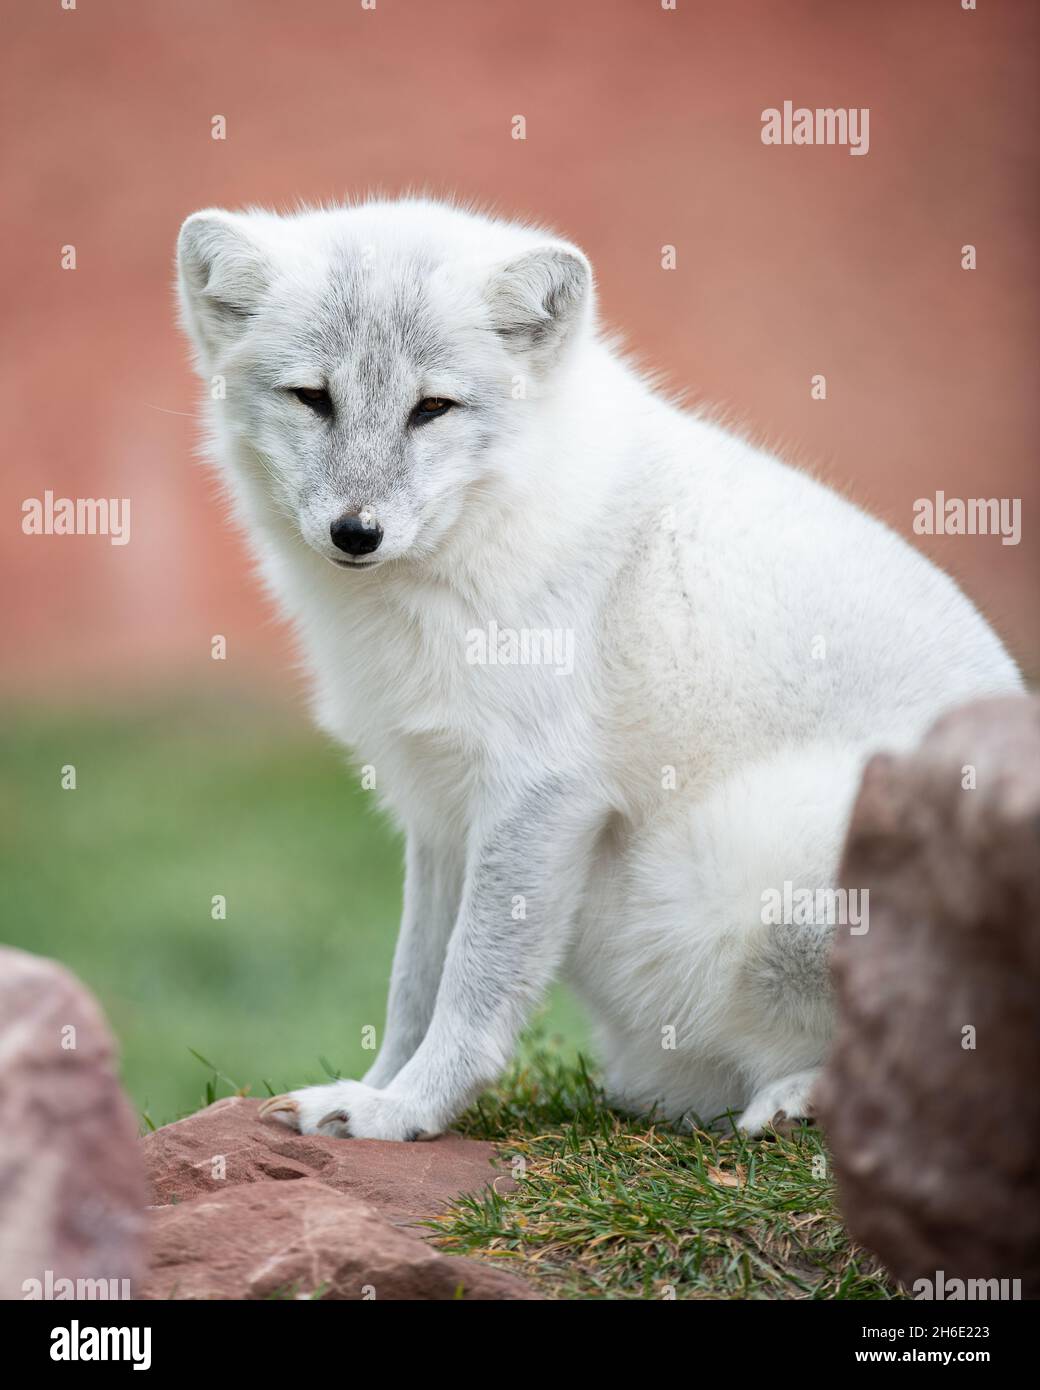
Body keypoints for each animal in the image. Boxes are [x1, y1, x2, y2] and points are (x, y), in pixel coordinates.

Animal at [176, 197, 1023, 1141]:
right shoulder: (440, 810)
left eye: (433, 408)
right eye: (312, 397)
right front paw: (374, 1087)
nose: (356, 532)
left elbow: (473, 987)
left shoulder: (540, 789)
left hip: (753, 854)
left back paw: (800, 1099)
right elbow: (412, 982)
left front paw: (406, 1112)